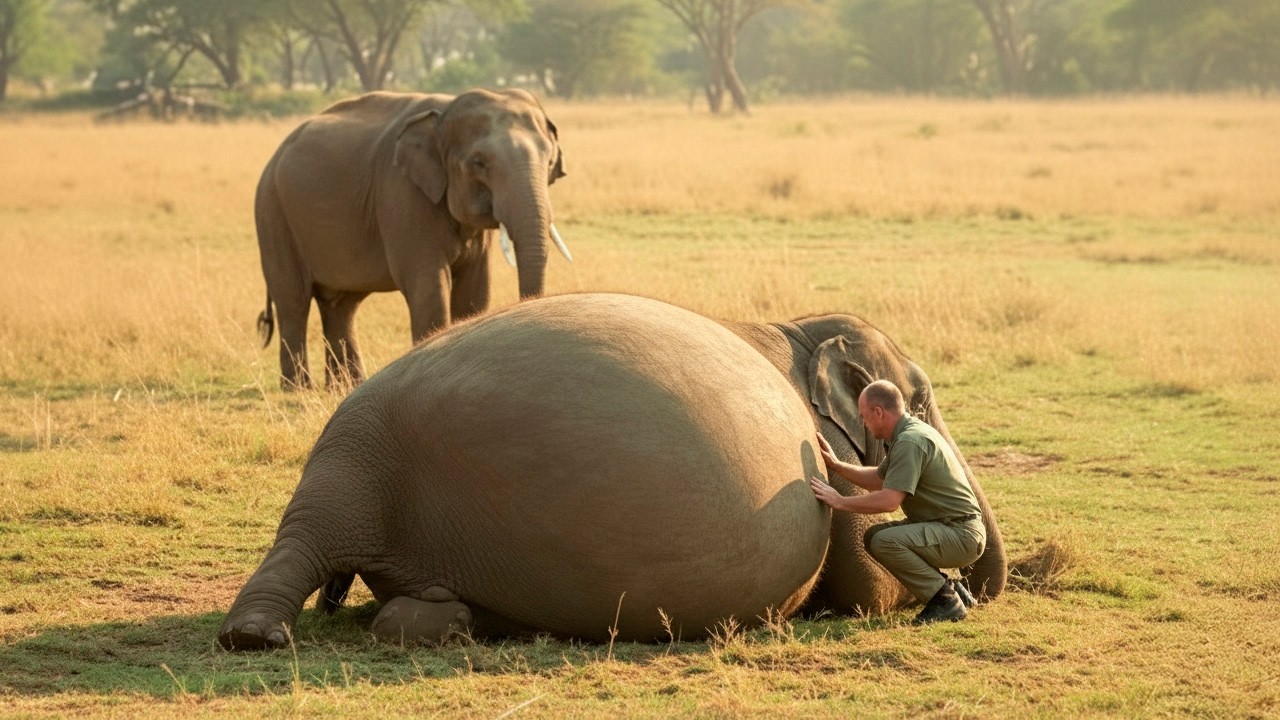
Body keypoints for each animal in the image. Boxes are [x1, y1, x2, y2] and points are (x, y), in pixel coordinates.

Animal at [218, 293, 1006, 649]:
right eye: (922, 399)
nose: (980, 586)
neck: (801, 322)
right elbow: (865, 589)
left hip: (352, 457)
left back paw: (428, 620)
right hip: (357, 456)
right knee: (314, 536)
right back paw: (258, 640)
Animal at [254, 88, 568, 390]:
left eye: (550, 160)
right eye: (479, 163)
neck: (445, 111)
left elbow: (475, 289)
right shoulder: (401, 193)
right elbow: (428, 285)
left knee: (341, 305)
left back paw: (344, 386)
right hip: (273, 214)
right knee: (293, 301)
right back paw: (298, 389)